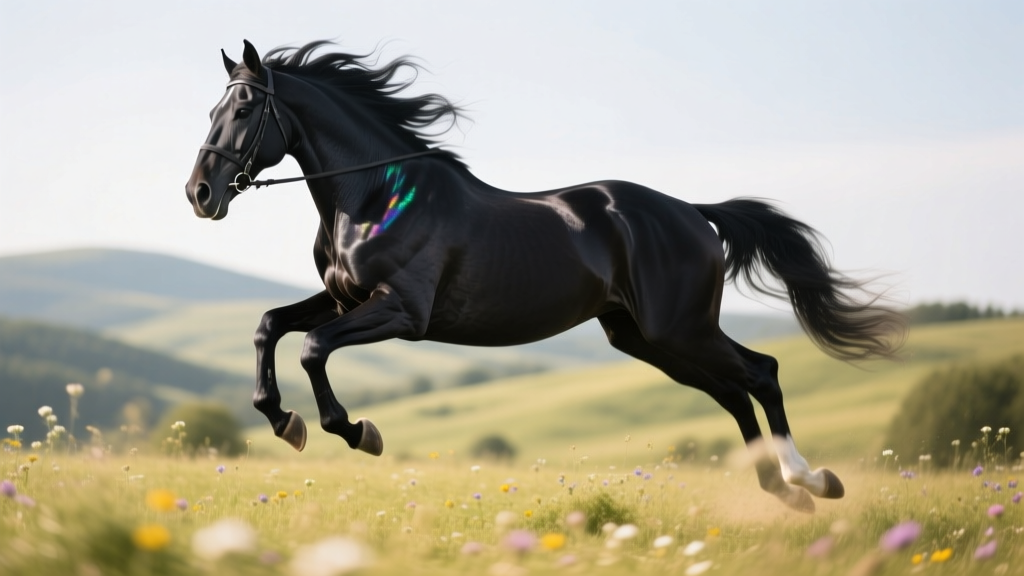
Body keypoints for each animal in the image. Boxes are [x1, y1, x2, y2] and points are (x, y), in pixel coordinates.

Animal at [185, 40, 905, 512]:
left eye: (244, 109)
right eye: (214, 109)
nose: (199, 193)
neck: (376, 195)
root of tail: (694, 214)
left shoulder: (402, 312)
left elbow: (311, 348)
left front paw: (356, 431)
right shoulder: (344, 299)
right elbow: (269, 326)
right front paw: (283, 420)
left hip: (681, 329)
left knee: (761, 374)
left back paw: (812, 483)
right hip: (642, 337)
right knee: (732, 391)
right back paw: (781, 494)